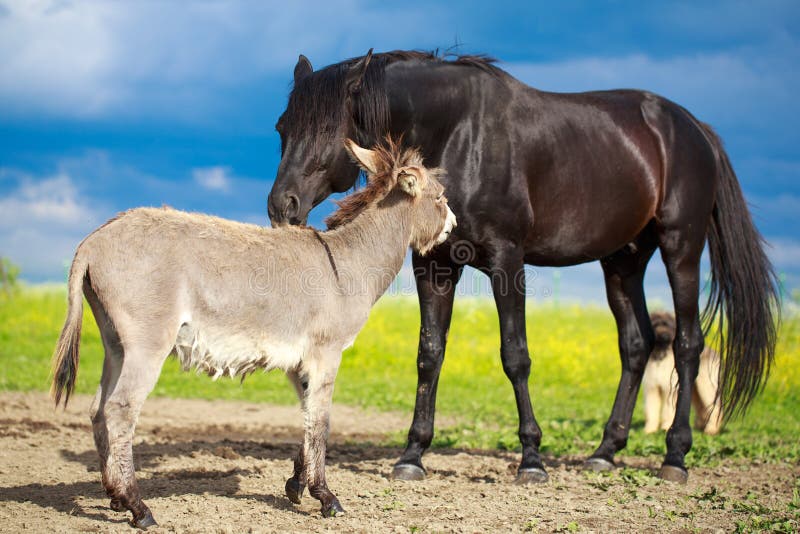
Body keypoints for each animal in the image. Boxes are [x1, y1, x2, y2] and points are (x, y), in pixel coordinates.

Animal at [51, 138, 456, 526]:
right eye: (439, 198)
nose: (452, 225)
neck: (345, 262)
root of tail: (94, 239)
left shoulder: (298, 363)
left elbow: (307, 418)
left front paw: (297, 485)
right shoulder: (325, 353)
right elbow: (321, 423)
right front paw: (326, 498)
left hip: (116, 345)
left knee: (98, 408)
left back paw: (116, 496)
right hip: (147, 344)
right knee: (120, 409)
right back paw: (139, 508)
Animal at [267, 49, 778, 484]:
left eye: (330, 130)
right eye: (281, 128)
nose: (281, 207)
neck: (458, 132)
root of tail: (694, 129)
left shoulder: (506, 260)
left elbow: (516, 355)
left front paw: (531, 459)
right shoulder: (434, 264)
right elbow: (429, 353)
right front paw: (412, 456)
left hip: (681, 248)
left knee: (688, 344)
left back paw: (675, 457)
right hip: (623, 260)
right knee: (636, 345)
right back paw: (604, 452)